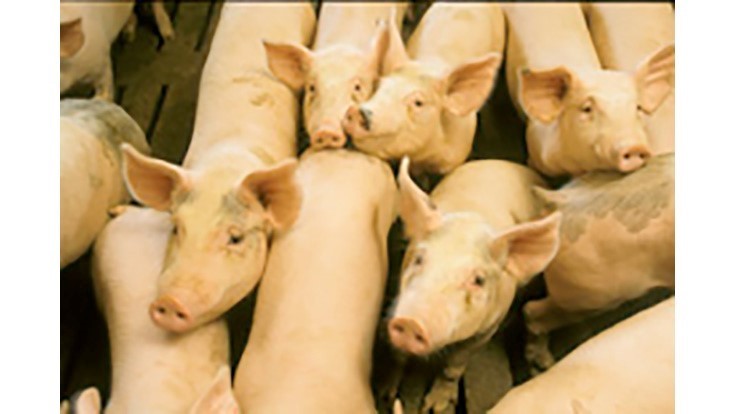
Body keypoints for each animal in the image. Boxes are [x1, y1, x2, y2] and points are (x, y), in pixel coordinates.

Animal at [385, 157, 561, 413]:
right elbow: (397, 357)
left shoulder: (487, 329)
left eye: (478, 280)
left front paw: (435, 407)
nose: (411, 323)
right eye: (419, 259)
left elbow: (454, 365)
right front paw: (386, 393)